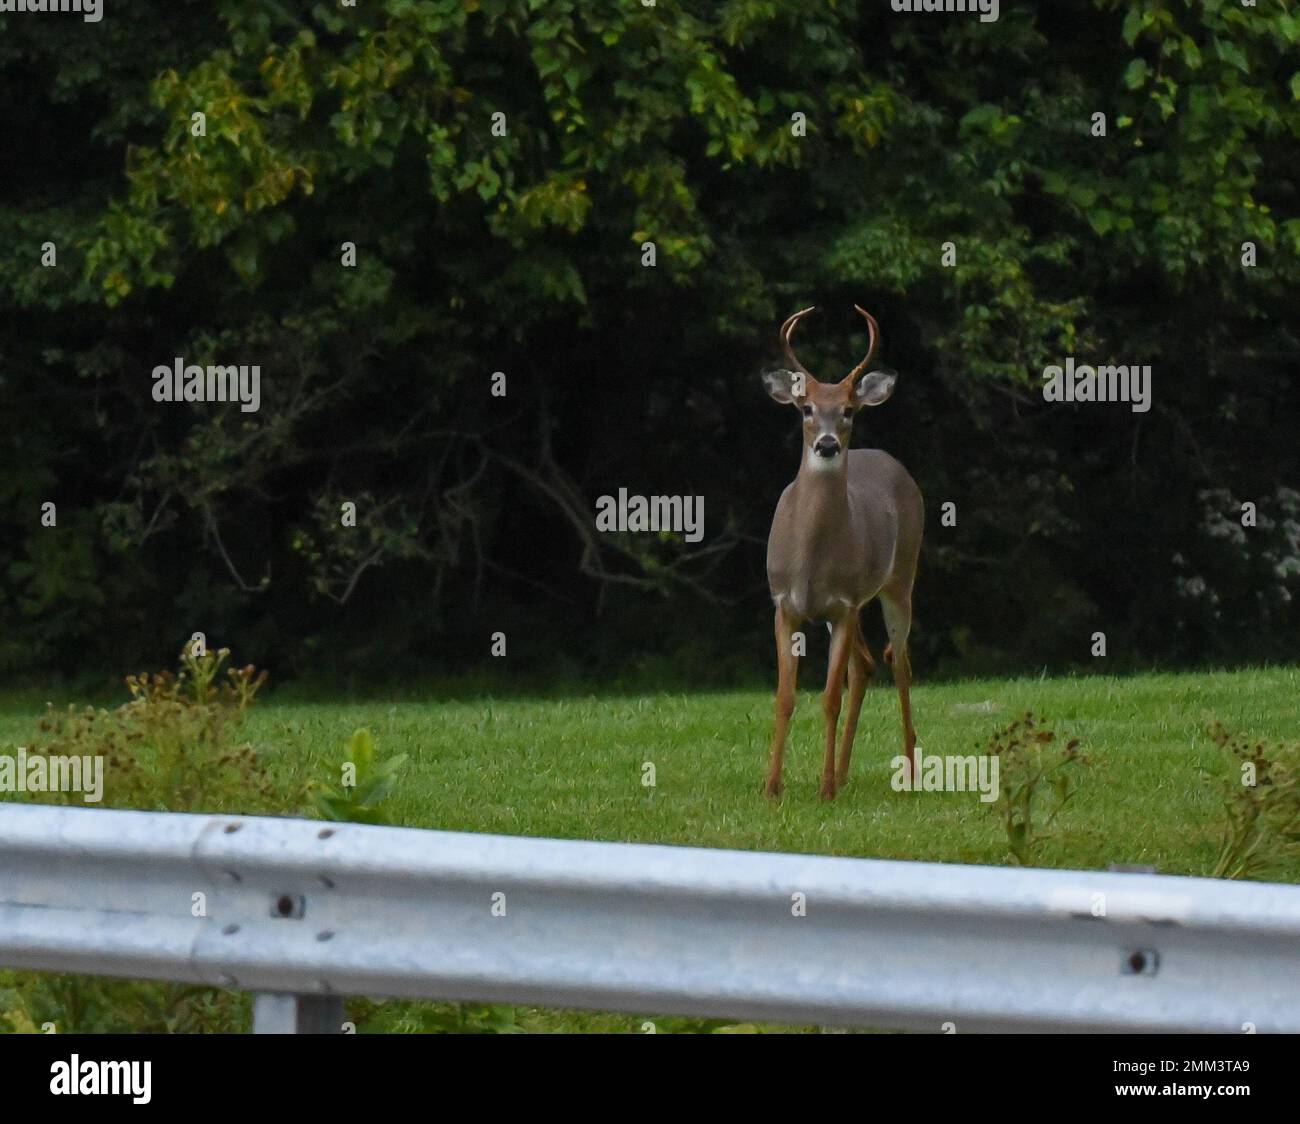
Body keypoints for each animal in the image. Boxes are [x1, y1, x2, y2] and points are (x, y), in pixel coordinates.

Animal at [761, 305, 923, 800]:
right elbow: (786, 696)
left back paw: (908, 769)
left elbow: (829, 698)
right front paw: (772, 787)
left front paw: (825, 789)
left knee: (900, 664)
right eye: (806, 408)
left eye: (849, 410)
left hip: (900, 578)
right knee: (867, 665)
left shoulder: (845, 603)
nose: (828, 443)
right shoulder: (785, 604)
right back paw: (847, 770)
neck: (812, 560)